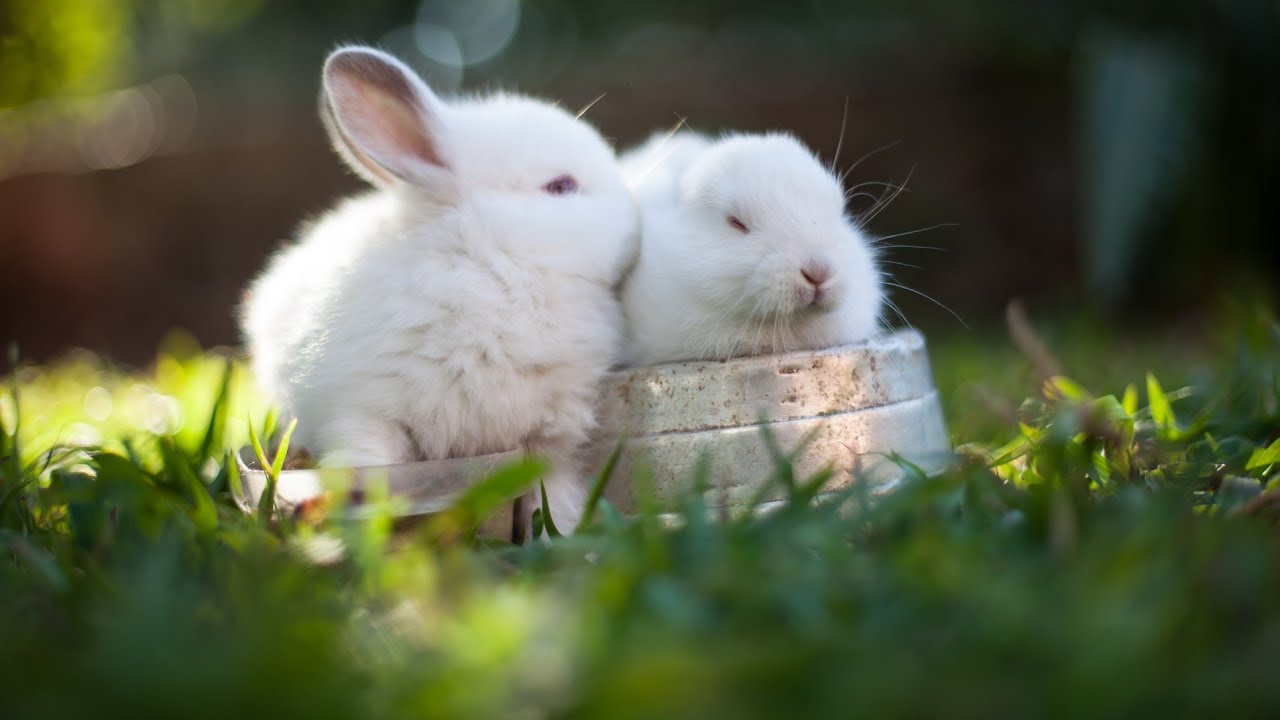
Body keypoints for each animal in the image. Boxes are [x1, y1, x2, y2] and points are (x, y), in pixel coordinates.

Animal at [240, 46, 639, 532]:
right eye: (560, 186)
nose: (636, 220)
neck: (492, 267)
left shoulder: (550, 439)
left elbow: (553, 496)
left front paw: (560, 533)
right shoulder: (363, 413)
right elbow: (369, 464)